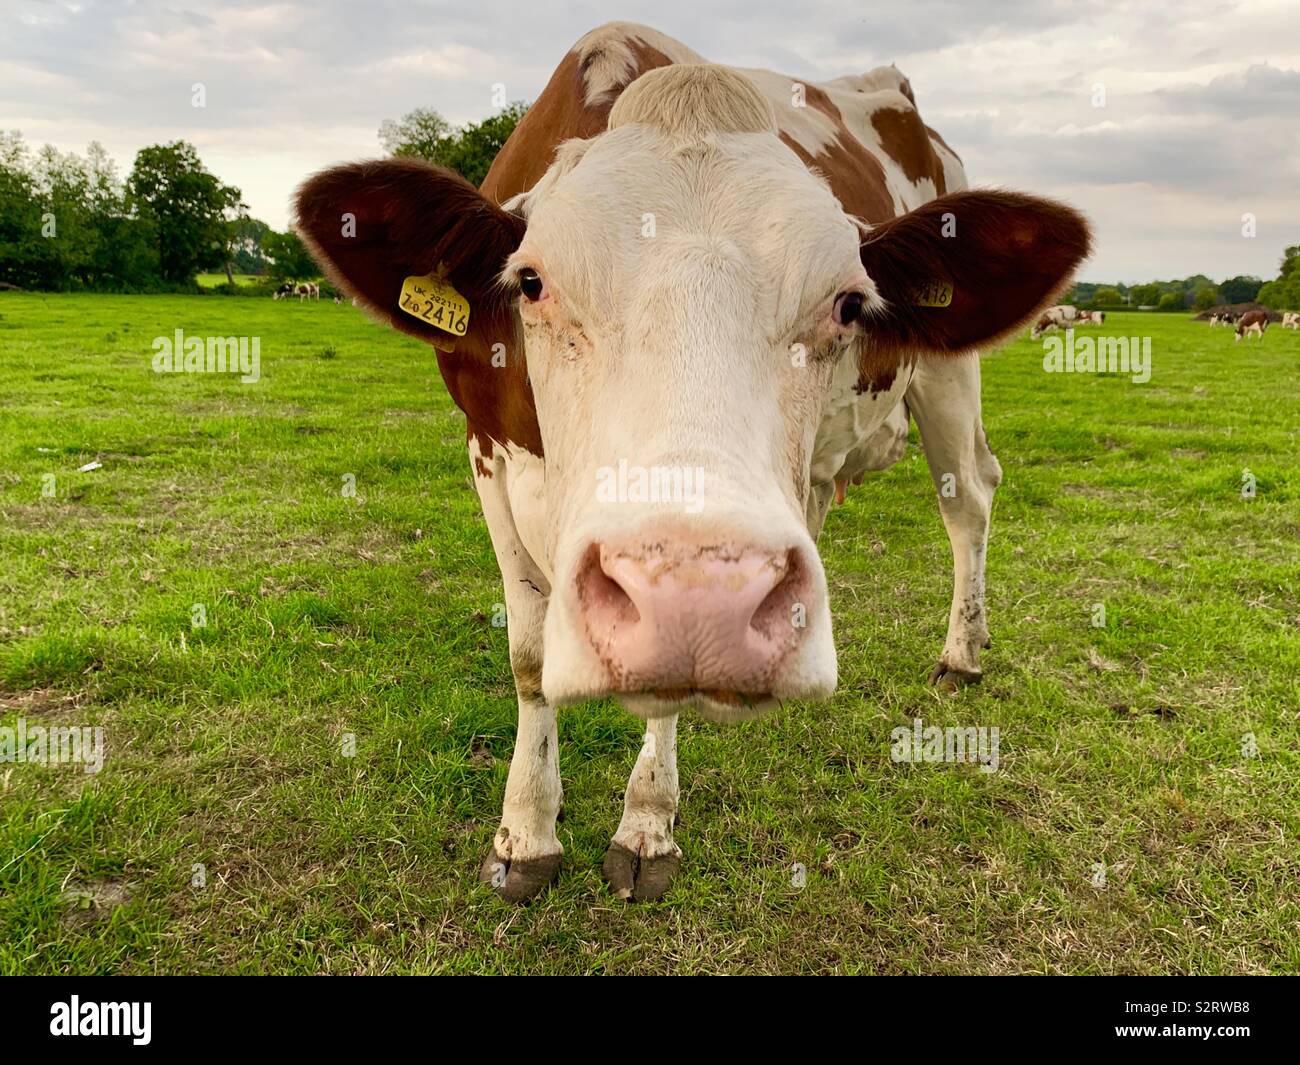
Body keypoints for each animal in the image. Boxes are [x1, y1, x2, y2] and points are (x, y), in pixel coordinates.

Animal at [295, 22, 1090, 902]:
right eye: (531, 282)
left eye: (849, 302)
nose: (706, 595)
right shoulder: (487, 452)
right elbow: (530, 657)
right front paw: (526, 831)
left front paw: (646, 823)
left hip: (949, 376)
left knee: (969, 499)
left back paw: (960, 653)